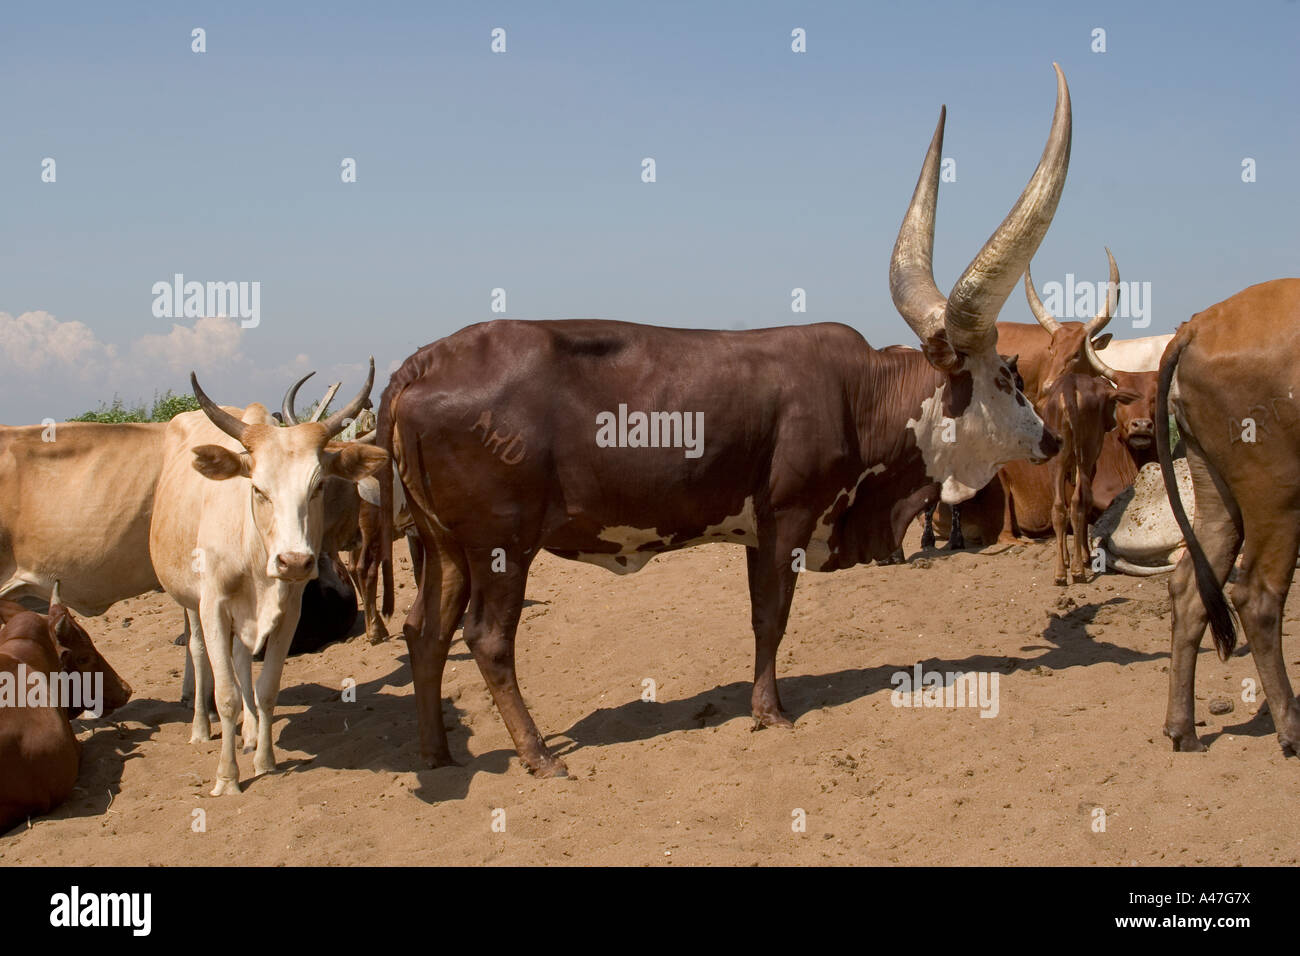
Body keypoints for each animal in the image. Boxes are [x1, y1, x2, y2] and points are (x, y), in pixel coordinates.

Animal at [150, 366, 387, 795]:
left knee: (242, 659)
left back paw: (250, 733)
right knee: (199, 653)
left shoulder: (287, 611)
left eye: (318, 485)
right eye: (258, 488)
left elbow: (266, 688)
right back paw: (200, 727)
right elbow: (226, 694)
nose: (294, 561)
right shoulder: (213, 606)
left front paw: (265, 759)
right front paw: (227, 778)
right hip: (190, 603)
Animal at [376, 64, 1072, 777]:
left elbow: (760, 616)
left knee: (424, 630)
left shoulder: (754, 529)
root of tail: (425, 360)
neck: (861, 395)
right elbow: (775, 617)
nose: (1052, 437)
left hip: (441, 544)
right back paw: (539, 754)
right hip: (501, 545)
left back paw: (436, 752)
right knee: (487, 639)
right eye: (1007, 378)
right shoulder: (788, 516)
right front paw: (771, 711)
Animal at [1157, 279, 1300, 755]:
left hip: (1217, 491)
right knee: (1257, 597)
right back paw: (1292, 730)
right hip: (1277, 492)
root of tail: (1198, 324)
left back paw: (1183, 729)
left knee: (1188, 589)